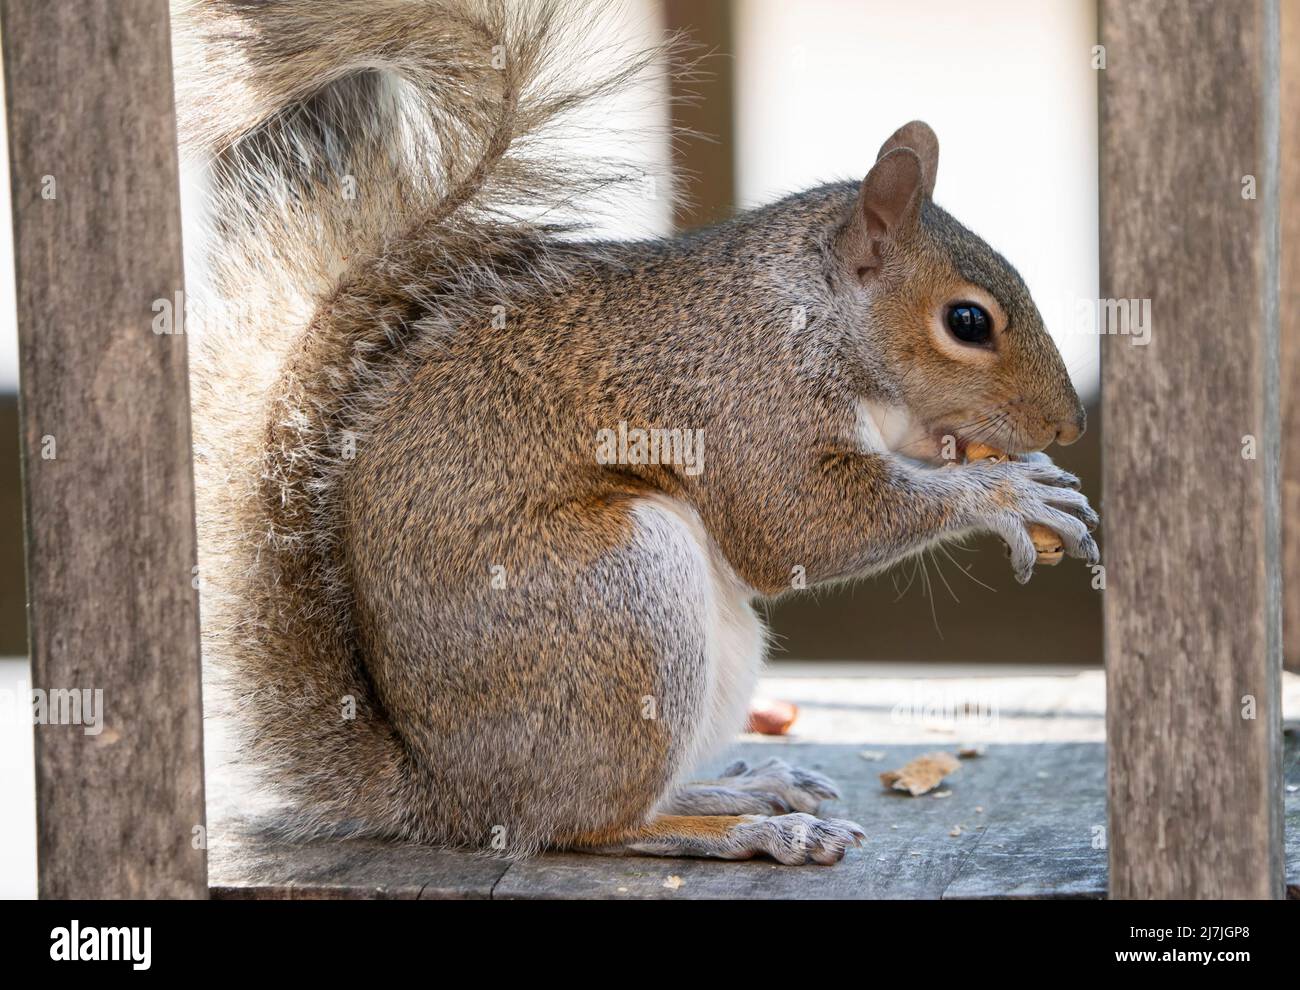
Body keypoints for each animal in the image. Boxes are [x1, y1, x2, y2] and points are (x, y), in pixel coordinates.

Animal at [175, 0, 1098, 865]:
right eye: (968, 321)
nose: (1068, 422)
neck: (811, 307)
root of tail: (449, 796)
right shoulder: (746, 396)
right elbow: (797, 525)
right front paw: (1008, 493)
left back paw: (746, 786)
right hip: (621, 596)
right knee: (593, 826)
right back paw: (752, 830)